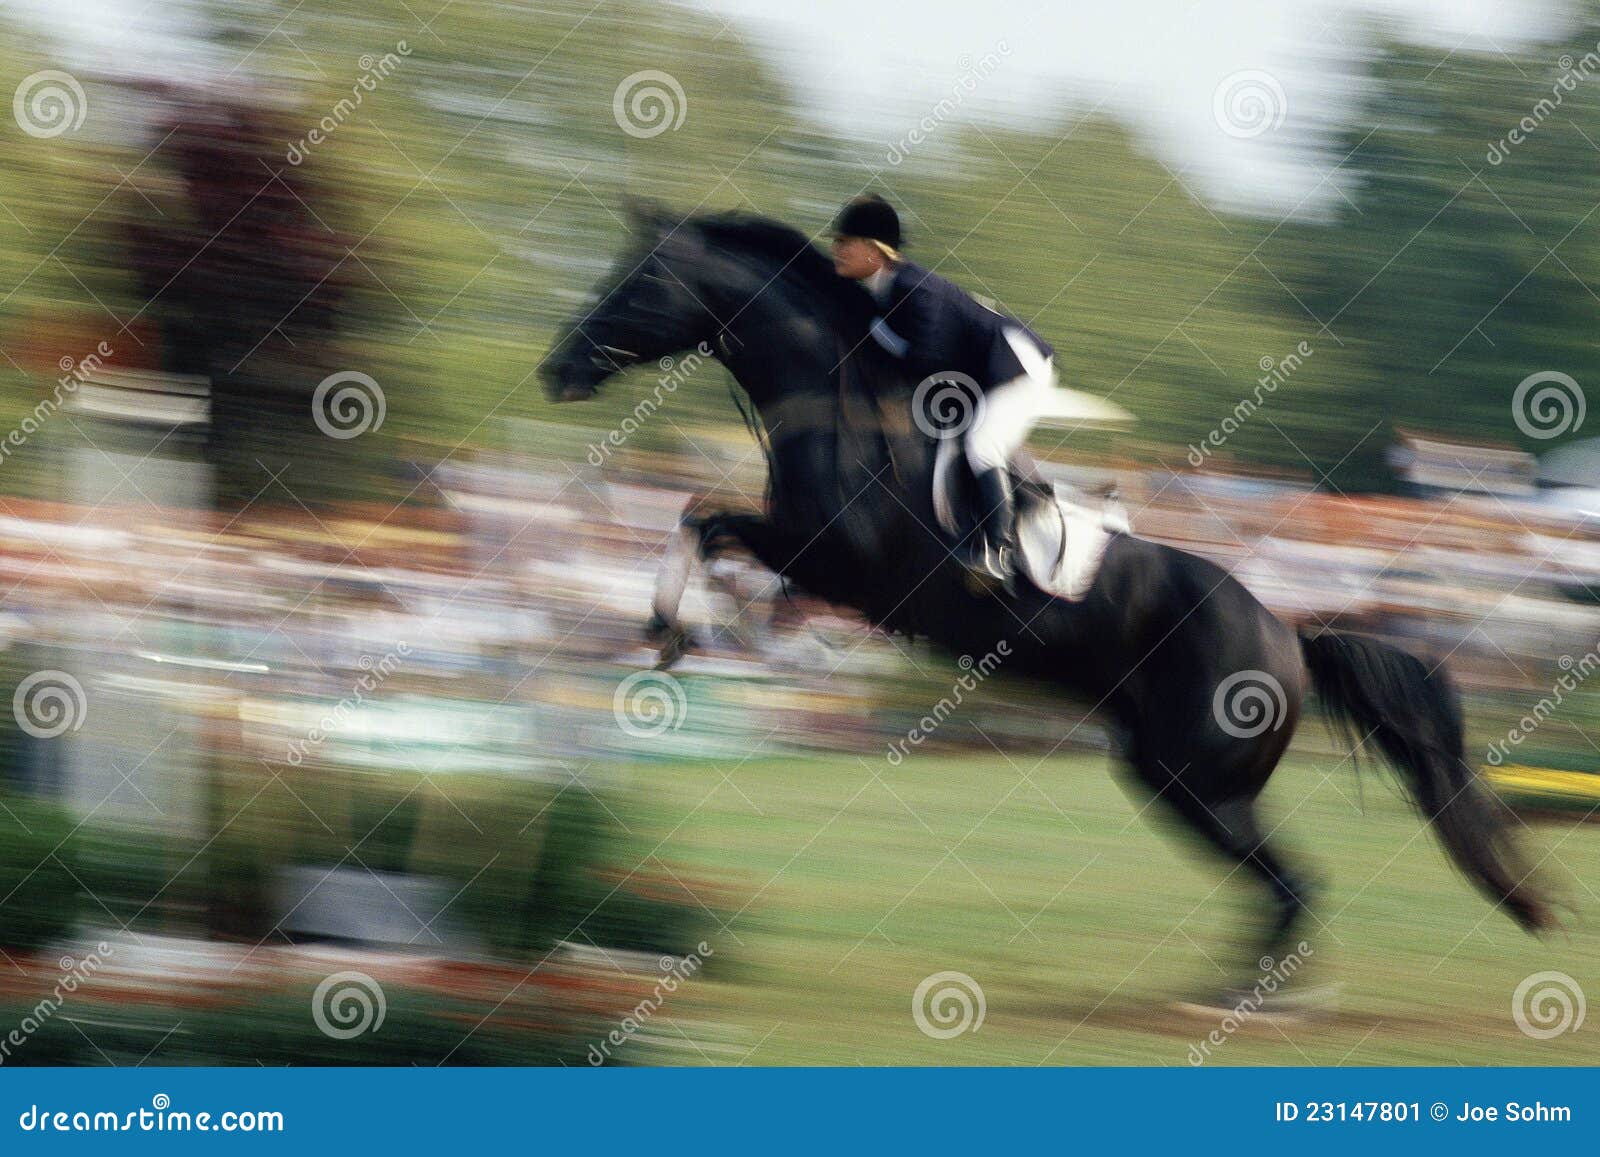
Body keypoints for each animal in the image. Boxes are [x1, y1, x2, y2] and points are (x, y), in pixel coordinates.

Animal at [543, 205, 1553, 992]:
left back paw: (1252, 997)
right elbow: (705, 526)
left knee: (1293, 881)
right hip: (1168, 774)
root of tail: (1288, 634)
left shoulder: (839, 563)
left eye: (636, 284)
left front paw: (683, 626)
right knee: (1283, 881)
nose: (557, 370)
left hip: (1201, 780)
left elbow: (707, 522)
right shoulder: (808, 560)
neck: (836, 402)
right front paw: (691, 629)